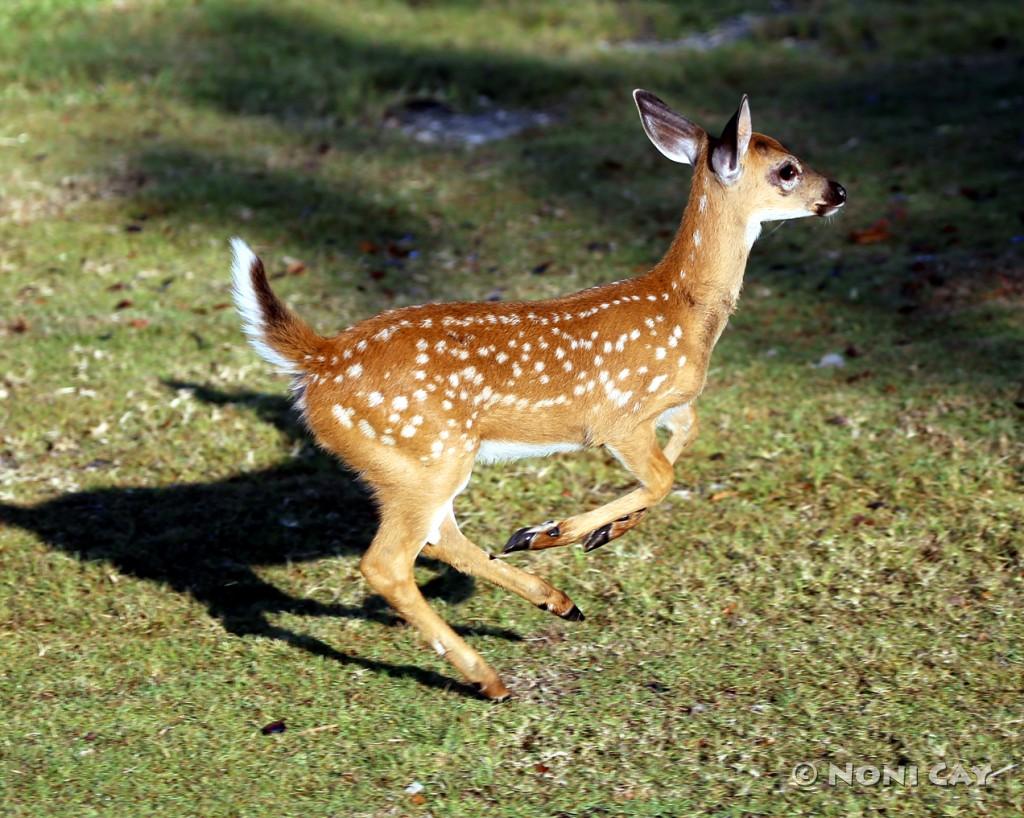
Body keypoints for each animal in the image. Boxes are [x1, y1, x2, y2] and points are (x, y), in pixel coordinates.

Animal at [229, 90, 846, 700]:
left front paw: (594, 533)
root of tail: (319, 359)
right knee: (388, 562)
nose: (838, 192)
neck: (685, 311)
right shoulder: (620, 415)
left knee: (441, 540)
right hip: (428, 453)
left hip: (419, 465)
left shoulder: (669, 403)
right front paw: (560, 531)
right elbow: (664, 478)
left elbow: (687, 435)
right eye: (787, 169)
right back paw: (490, 674)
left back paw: (555, 599)